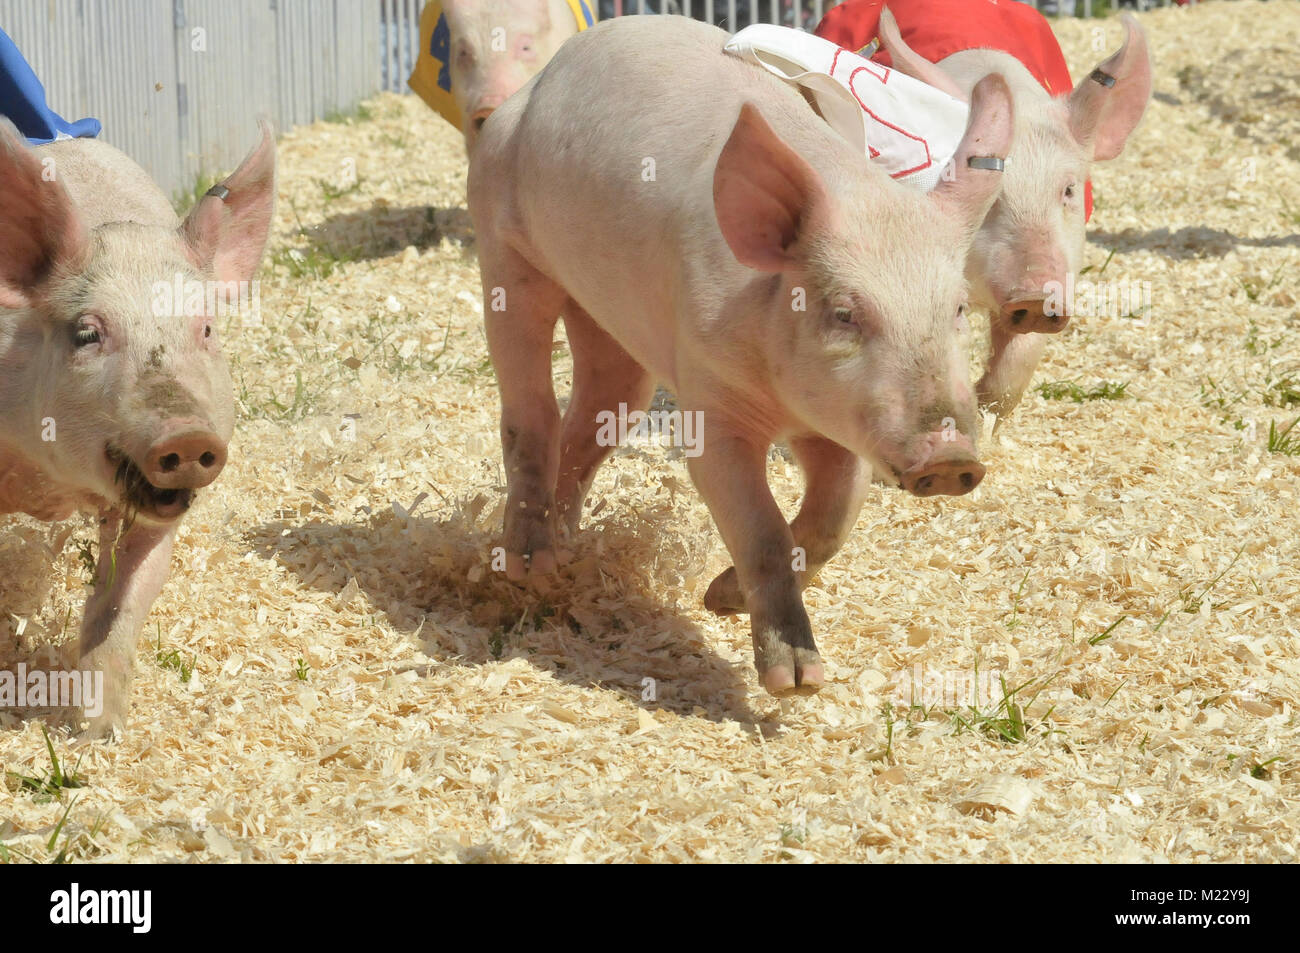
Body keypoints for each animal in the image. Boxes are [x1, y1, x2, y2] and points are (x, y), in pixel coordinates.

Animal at [0, 122, 275, 738]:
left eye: (206, 329)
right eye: (86, 333)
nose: (186, 437)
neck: (49, 487)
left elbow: (118, 605)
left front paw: (98, 736)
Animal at [467, 15, 1014, 696]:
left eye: (958, 309)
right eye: (844, 313)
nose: (951, 457)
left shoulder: (841, 425)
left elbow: (832, 521)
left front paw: (720, 601)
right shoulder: (709, 395)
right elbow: (760, 528)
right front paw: (795, 682)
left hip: (613, 326)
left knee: (598, 416)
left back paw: (569, 549)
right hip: (502, 239)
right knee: (529, 404)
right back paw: (531, 563)